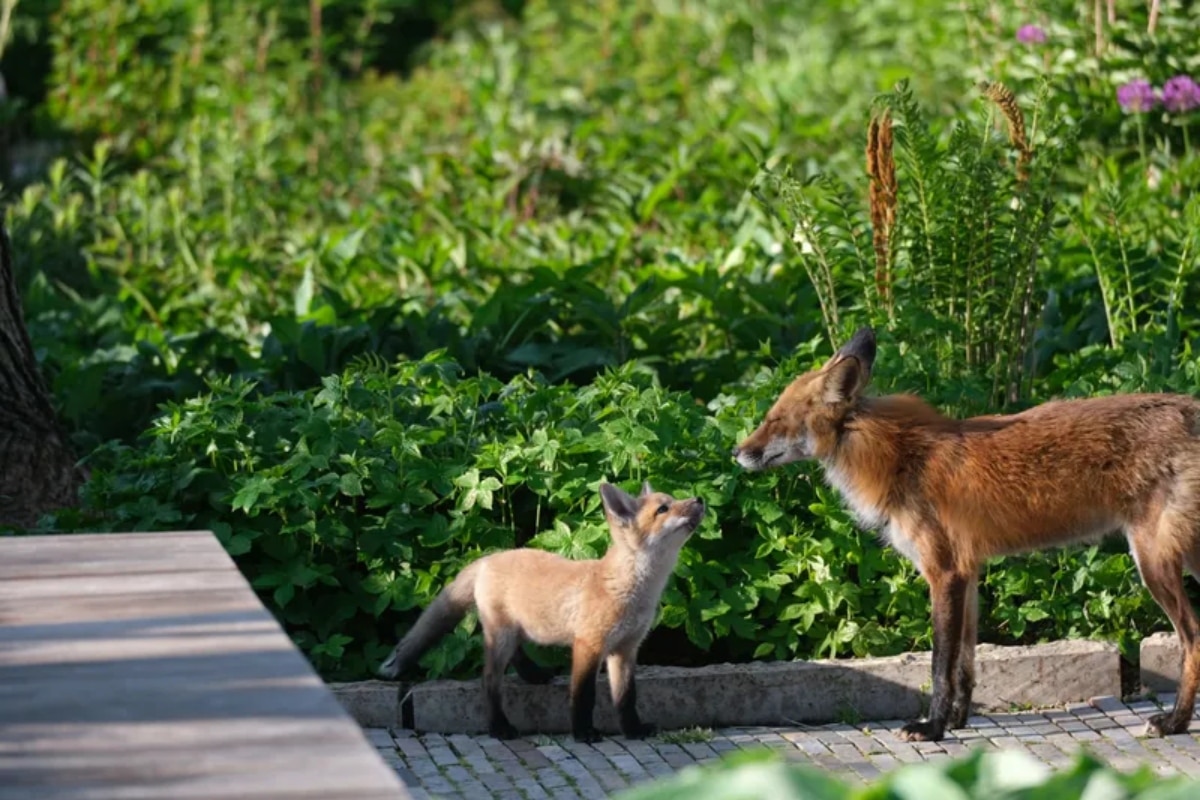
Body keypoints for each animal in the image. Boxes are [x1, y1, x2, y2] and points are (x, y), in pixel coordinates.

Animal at [378, 481, 706, 742]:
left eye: (673, 499)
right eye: (663, 509)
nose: (700, 499)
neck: (628, 589)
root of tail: (487, 559)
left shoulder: (625, 650)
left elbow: (626, 698)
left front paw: (633, 730)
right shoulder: (588, 645)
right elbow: (583, 696)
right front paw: (583, 733)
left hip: (516, 632)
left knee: (517, 656)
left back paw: (534, 676)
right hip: (501, 637)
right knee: (489, 681)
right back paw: (499, 728)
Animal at [734, 325, 1200, 742]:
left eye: (776, 420)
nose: (737, 453)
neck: (903, 459)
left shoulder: (944, 571)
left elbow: (940, 664)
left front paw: (932, 728)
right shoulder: (968, 572)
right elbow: (965, 664)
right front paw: (957, 721)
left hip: (1153, 562)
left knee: (1192, 637)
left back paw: (1175, 722)